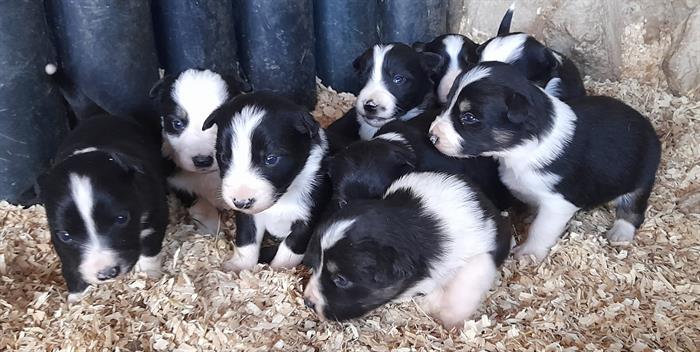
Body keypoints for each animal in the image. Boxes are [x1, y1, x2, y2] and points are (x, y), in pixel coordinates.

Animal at [38, 114, 168, 302]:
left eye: (122, 219)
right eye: (65, 235)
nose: (107, 273)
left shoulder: (155, 216)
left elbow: (150, 250)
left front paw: (149, 275)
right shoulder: (59, 240)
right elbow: (70, 264)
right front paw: (76, 297)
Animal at [201, 92, 330, 270]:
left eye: (271, 159)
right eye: (224, 157)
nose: (241, 202)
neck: (282, 199)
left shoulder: (309, 216)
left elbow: (290, 246)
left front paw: (278, 268)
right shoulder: (248, 215)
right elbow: (246, 239)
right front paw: (238, 266)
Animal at [426, 62, 660, 262]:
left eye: (469, 117)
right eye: (447, 103)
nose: (432, 136)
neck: (519, 150)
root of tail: (647, 125)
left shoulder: (557, 204)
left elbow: (541, 229)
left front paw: (528, 253)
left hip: (642, 178)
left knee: (634, 208)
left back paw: (620, 233)